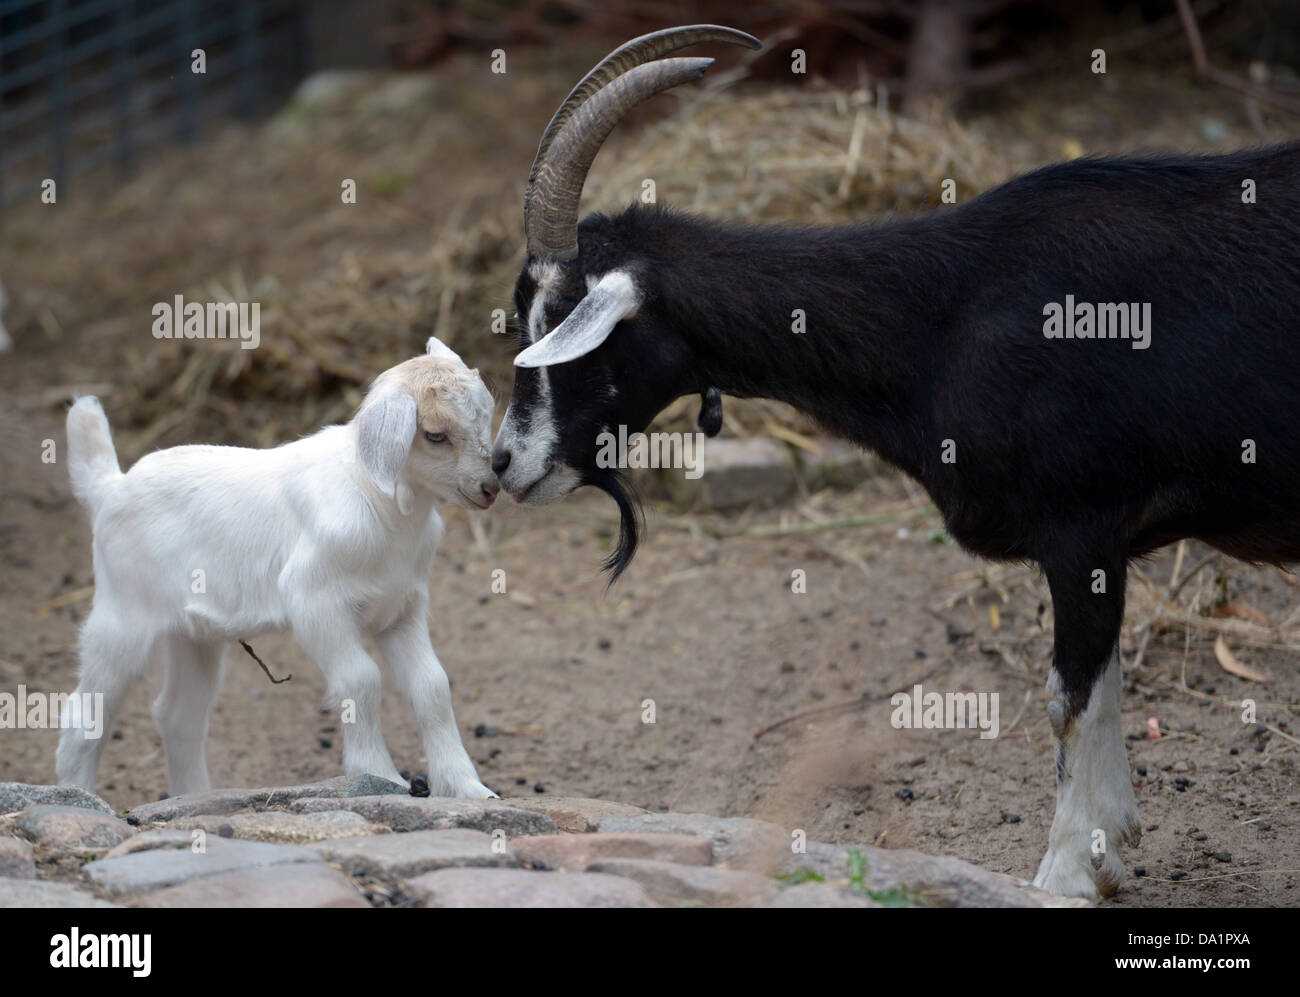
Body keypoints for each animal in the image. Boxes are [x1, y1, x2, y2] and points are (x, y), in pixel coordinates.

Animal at [58, 338, 500, 798]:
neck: (381, 502)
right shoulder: (313, 600)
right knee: (85, 716)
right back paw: (78, 795)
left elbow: (432, 687)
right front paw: (378, 775)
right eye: (435, 435)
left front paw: (469, 789)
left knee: (179, 715)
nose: (490, 487)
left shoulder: (402, 607)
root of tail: (110, 488)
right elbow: (362, 680)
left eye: (487, 414)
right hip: (122, 613)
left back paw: (196, 796)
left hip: (194, 634)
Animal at [489, 24, 1300, 900]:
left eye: (559, 325)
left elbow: (1069, 698)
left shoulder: (1080, 524)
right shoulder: (1102, 544)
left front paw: (1063, 873)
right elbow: (1108, 688)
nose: (504, 462)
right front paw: (1111, 844)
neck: (942, 312)